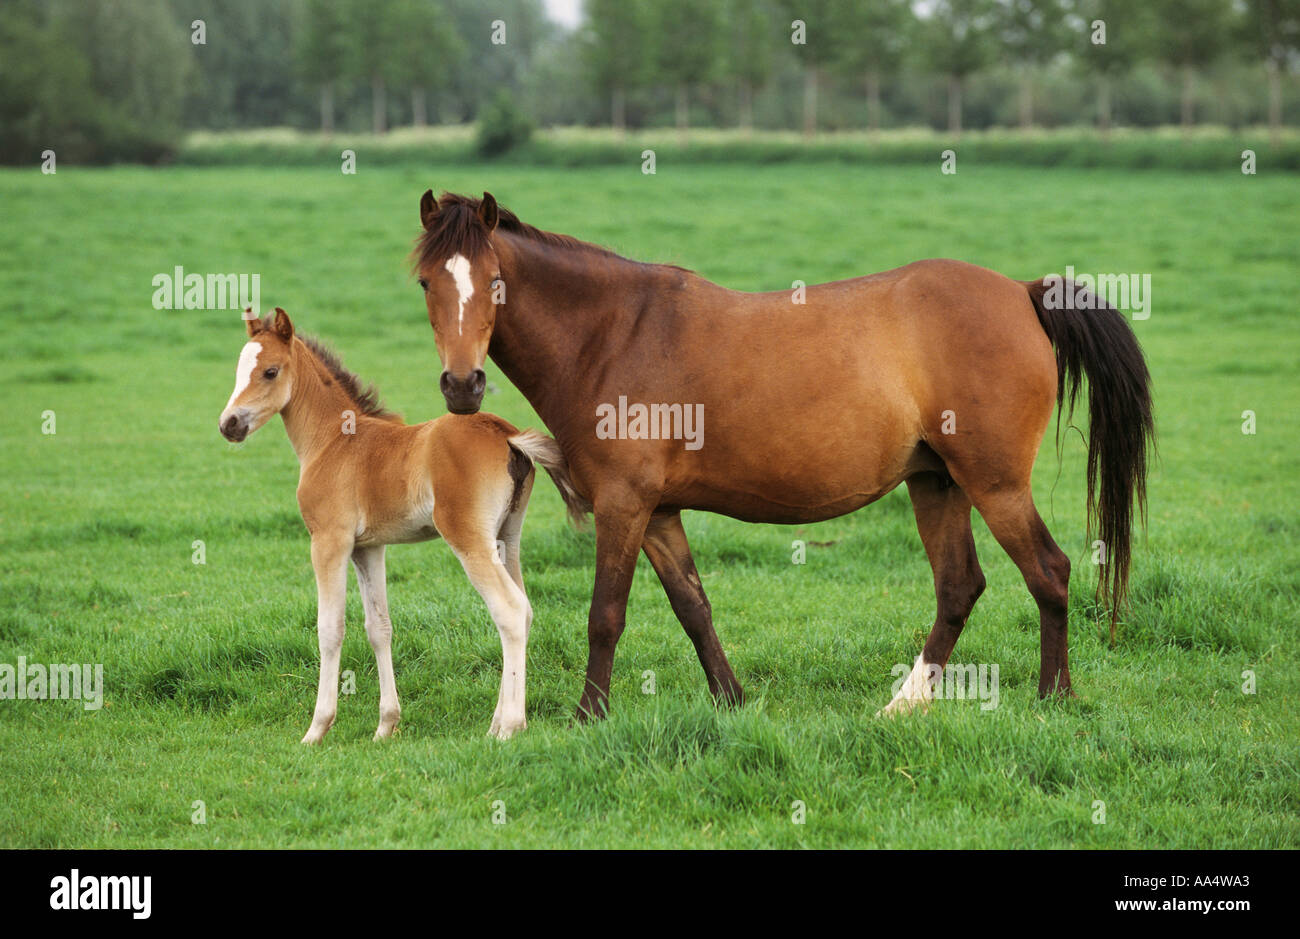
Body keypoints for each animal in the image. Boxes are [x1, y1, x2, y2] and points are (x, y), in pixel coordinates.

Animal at [217, 307, 585, 741]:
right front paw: (386, 725)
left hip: (468, 537)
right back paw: (506, 720)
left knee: (508, 610)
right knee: (524, 610)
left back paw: (508, 727)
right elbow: (379, 627)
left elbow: (330, 629)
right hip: (507, 537)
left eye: (270, 371)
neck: (333, 441)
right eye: (239, 370)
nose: (229, 424)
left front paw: (317, 729)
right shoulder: (368, 547)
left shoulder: (329, 541)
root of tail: (507, 434)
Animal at [410, 190, 1154, 720]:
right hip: (937, 484)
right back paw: (902, 704)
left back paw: (1053, 698)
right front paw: (732, 702)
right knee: (959, 587)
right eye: (425, 282)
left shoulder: (623, 505)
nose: (462, 385)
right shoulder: (658, 513)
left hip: (995, 485)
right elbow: (693, 607)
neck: (612, 334)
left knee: (1049, 571)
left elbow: (606, 614)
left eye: (495, 279)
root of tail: (1023, 294)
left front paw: (589, 715)